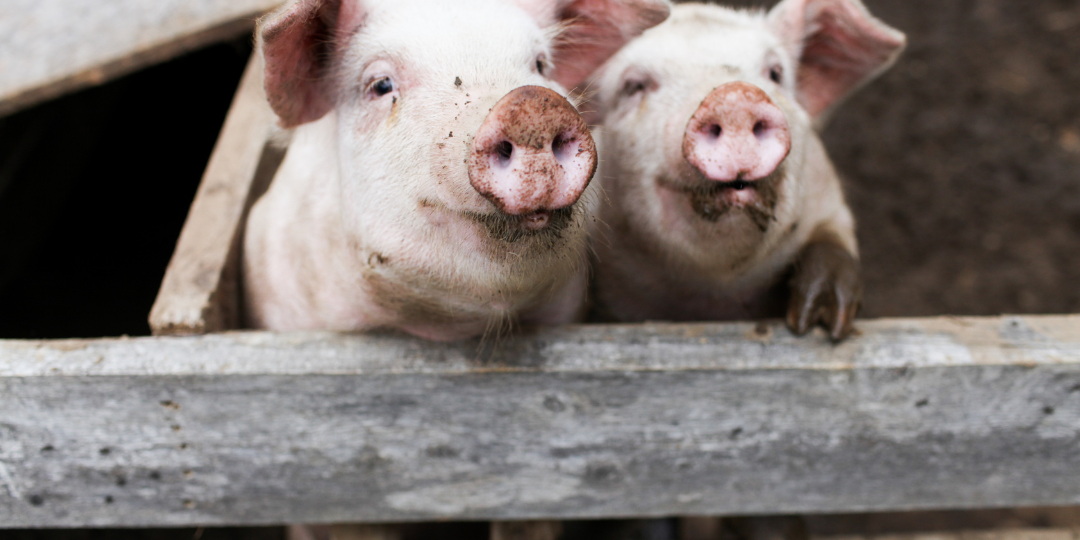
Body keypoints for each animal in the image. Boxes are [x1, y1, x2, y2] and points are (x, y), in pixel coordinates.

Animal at [586, 0, 905, 340]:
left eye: (775, 73)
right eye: (634, 86)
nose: (734, 97)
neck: (715, 294)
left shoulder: (830, 202)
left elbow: (832, 242)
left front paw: (820, 320)